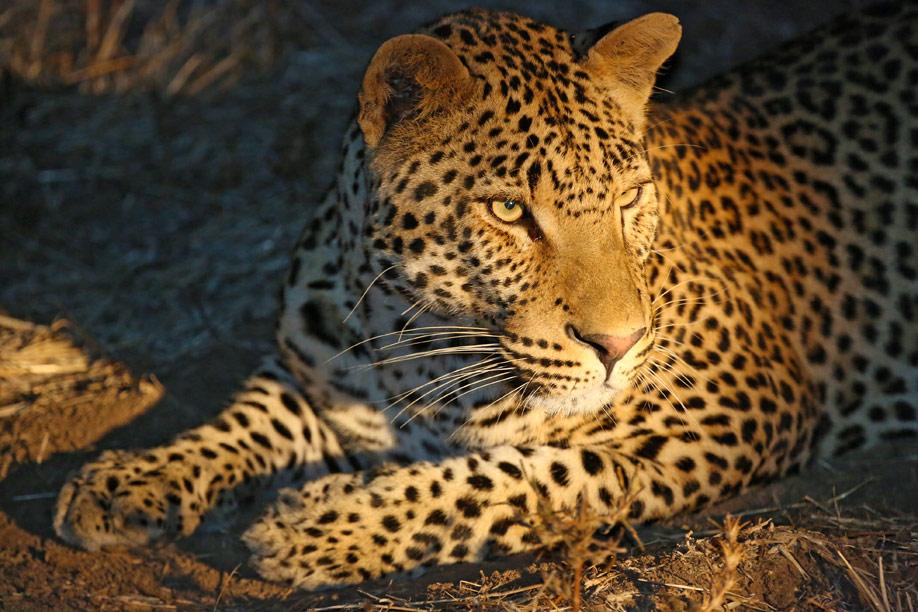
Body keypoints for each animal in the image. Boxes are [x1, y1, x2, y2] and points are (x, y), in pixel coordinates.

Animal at [53, 2, 917, 589]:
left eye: (630, 197)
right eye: (508, 211)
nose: (619, 346)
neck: (421, 345)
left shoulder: (732, 416)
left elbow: (527, 475)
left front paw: (318, 526)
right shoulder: (316, 370)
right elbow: (246, 419)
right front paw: (127, 481)